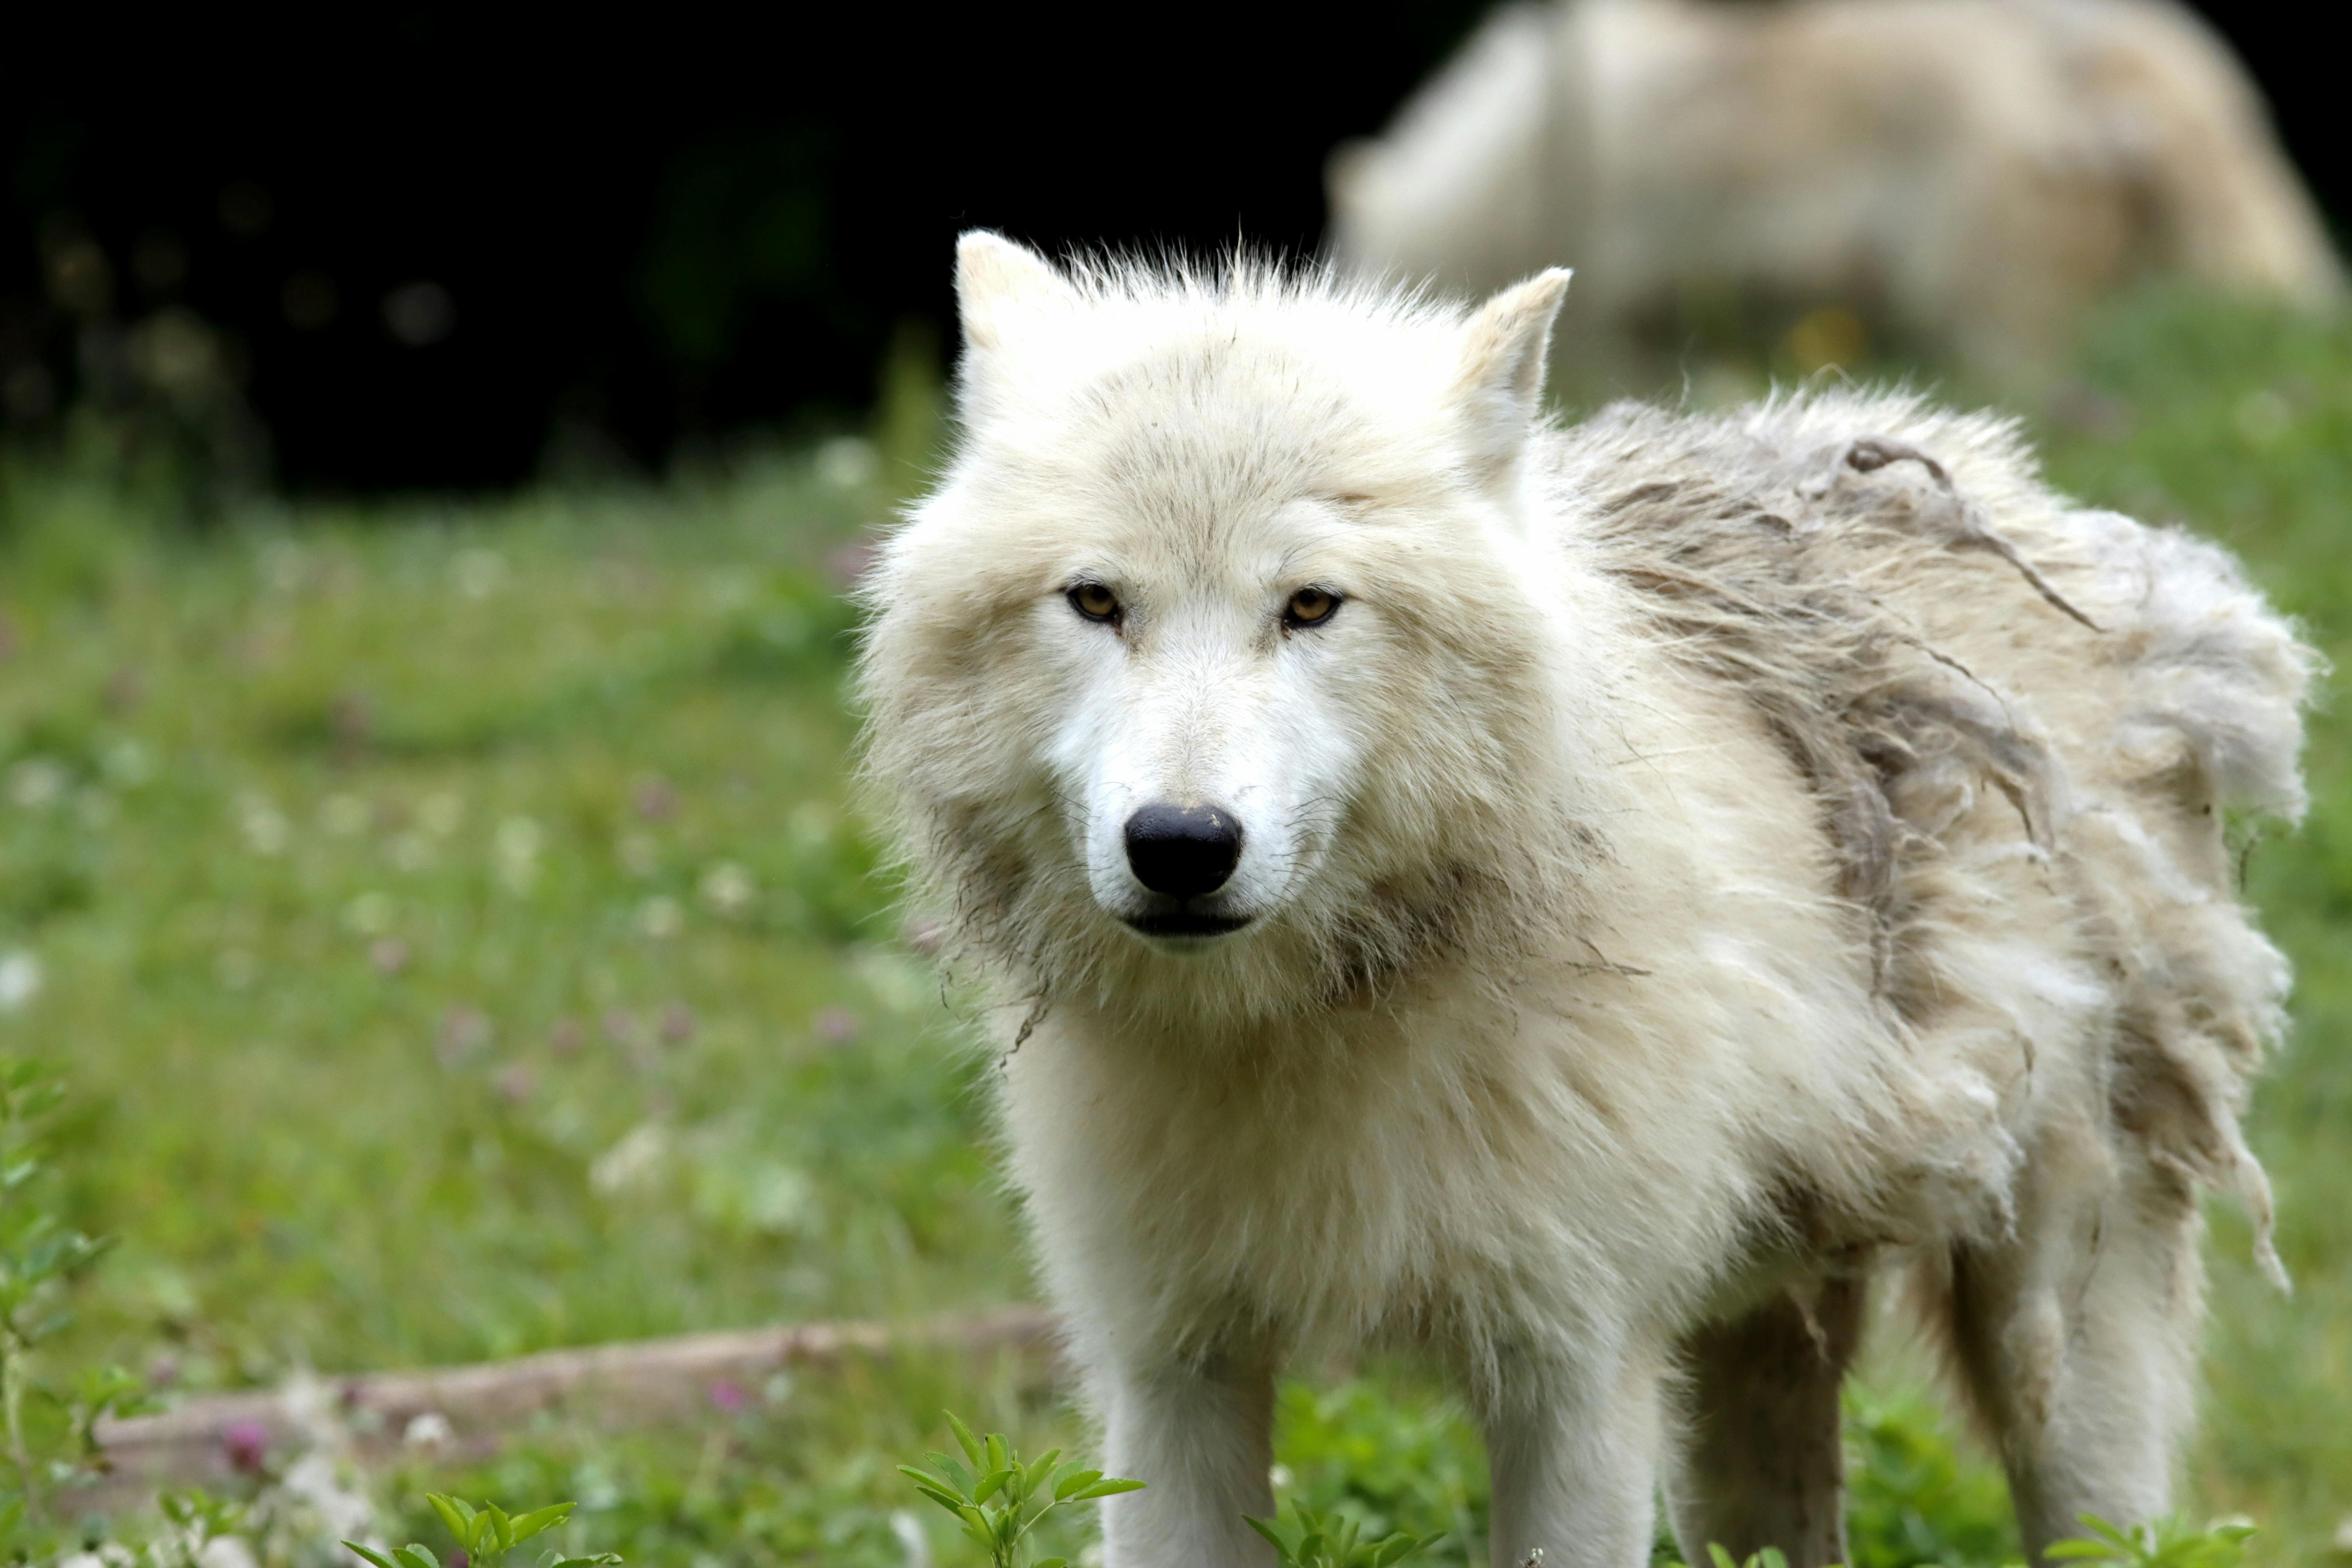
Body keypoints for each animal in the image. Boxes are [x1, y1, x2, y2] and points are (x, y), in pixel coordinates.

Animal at [857, 234, 2314, 1568]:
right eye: (1096, 601)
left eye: (1311, 605)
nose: (1179, 845)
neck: (1321, 1028)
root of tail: (1978, 466)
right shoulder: (1169, 1376)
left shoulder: (1574, 1381)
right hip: (1749, 1369)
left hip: (2055, 1346)